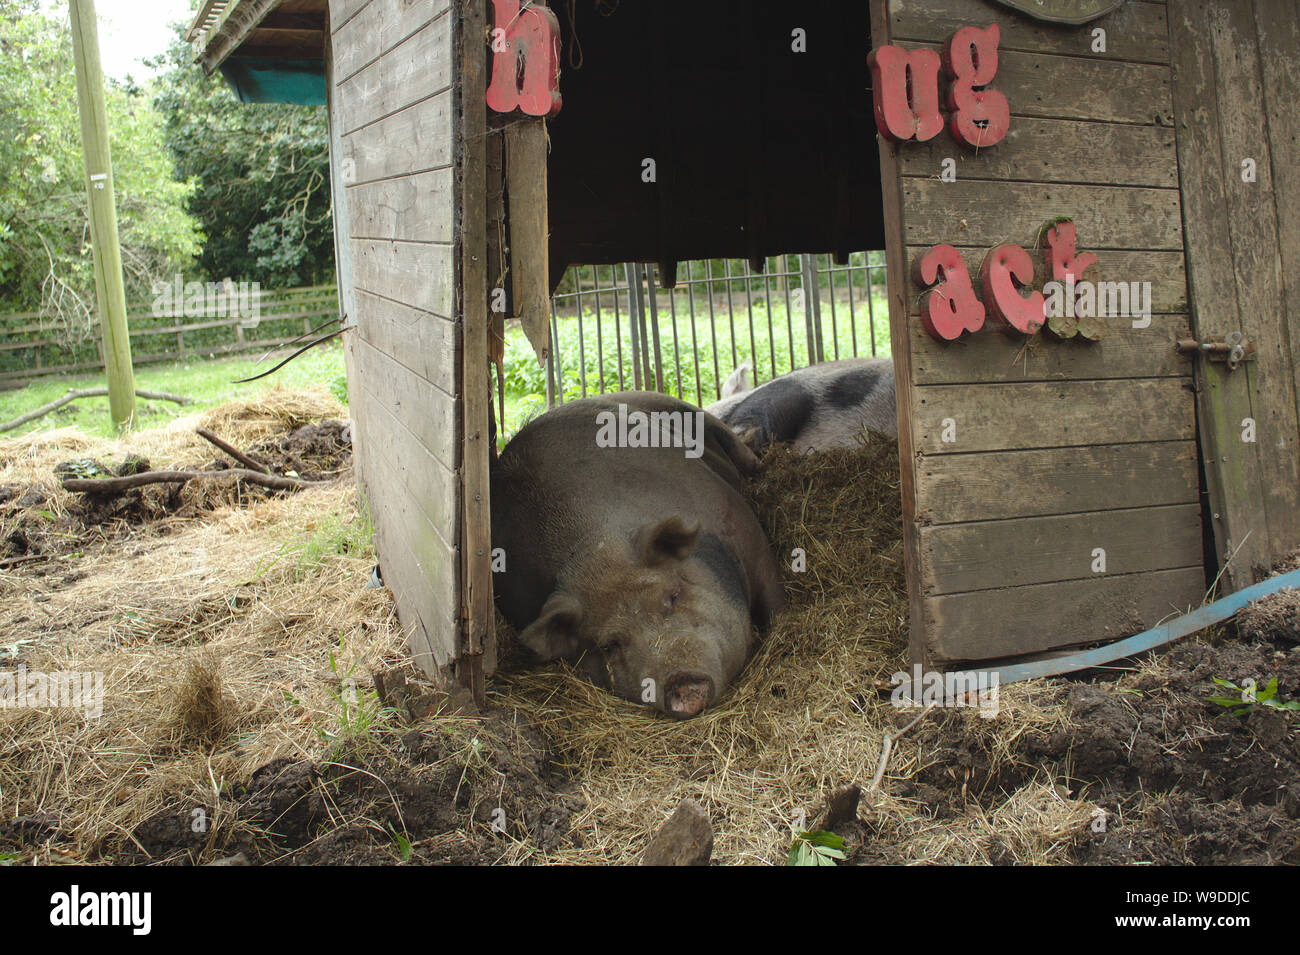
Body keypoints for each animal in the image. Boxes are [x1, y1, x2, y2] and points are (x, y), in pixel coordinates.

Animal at [491, 392, 785, 718]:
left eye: (673, 595)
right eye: (610, 645)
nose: (680, 681)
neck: (595, 550)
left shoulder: (742, 525)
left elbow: (774, 599)